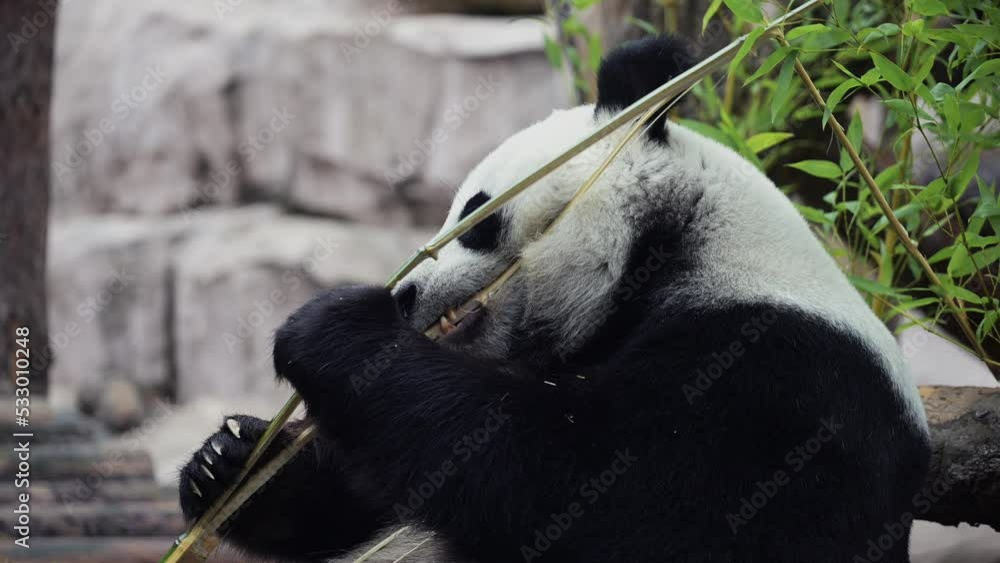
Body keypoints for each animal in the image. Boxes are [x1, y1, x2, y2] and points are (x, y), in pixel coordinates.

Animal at [179, 35, 930, 563]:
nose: (407, 294)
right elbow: (386, 479)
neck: (678, 246)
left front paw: (332, 328)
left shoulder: (776, 381)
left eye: (477, 215)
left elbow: (594, 488)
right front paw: (228, 461)